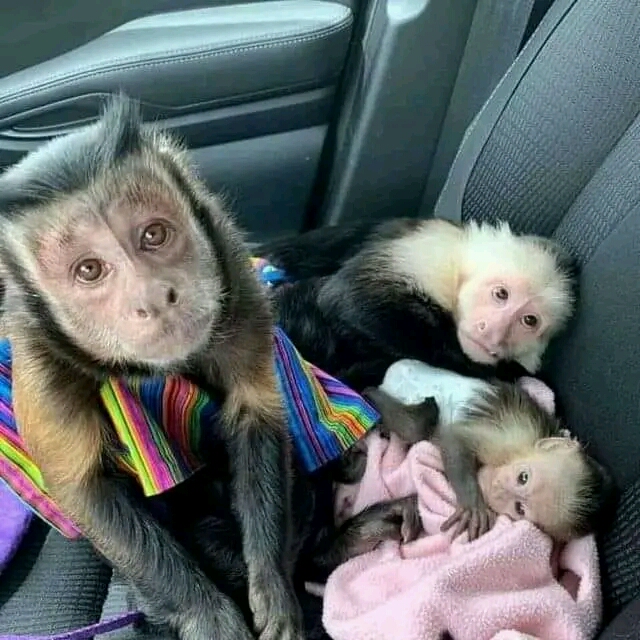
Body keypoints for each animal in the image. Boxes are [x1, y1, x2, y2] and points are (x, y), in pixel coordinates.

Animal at [0, 95, 305, 640]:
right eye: (89, 270)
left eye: (154, 234)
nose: (152, 297)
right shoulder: (37, 351)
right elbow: (81, 486)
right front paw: (209, 617)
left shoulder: (236, 281)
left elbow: (255, 414)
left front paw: (272, 588)